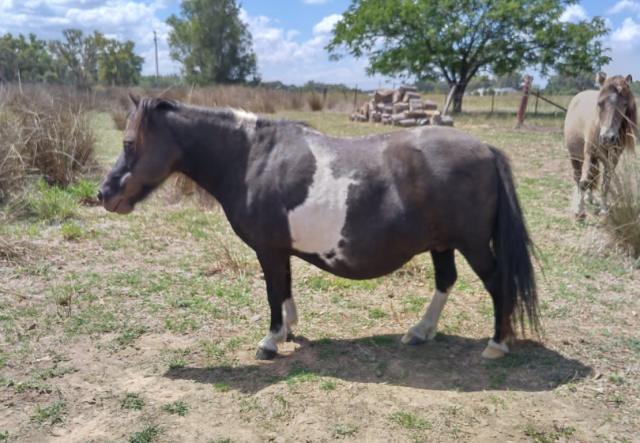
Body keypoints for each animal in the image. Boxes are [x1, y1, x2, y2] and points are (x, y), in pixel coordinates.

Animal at [98, 95, 540, 361]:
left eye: (129, 144)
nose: (104, 194)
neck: (252, 159)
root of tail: (486, 149)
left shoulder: (268, 250)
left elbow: (274, 292)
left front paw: (271, 341)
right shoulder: (280, 250)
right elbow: (286, 288)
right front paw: (289, 331)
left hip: (472, 244)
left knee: (497, 283)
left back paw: (496, 344)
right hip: (442, 243)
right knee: (446, 281)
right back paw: (420, 332)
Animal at [565, 73, 638, 219]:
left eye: (624, 104)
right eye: (600, 103)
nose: (607, 138)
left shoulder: (612, 159)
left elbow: (606, 183)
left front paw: (604, 210)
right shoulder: (589, 154)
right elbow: (583, 182)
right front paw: (579, 211)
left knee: (592, 176)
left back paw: (590, 198)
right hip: (575, 156)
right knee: (578, 178)